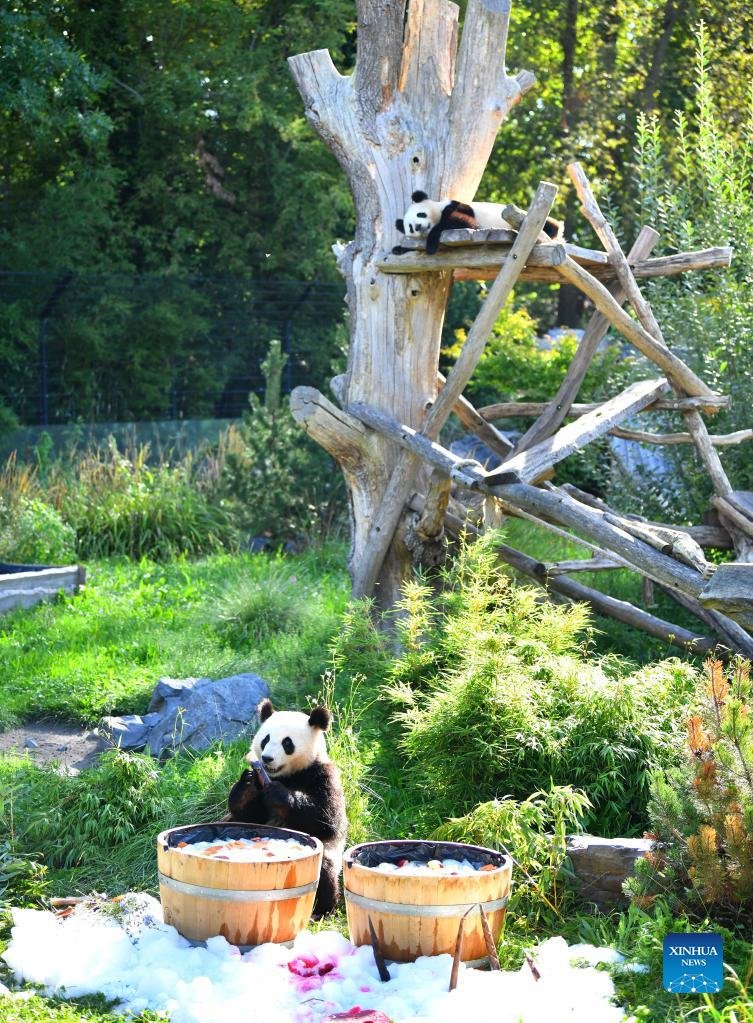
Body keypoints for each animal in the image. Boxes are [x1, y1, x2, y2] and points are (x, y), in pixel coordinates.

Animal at [227, 699, 347, 917]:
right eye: (265, 739)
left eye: (287, 743)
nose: (267, 759)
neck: (288, 775)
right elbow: (248, 815)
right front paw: (247, 783)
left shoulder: (322, 774)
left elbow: (327, 819)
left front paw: (279, 794)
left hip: (329, 857)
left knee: (325, 872)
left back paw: (322, 910)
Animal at [394, 190, 563, 255]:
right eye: (410, 228)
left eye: (420, 214)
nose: (418, 226)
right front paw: (398, 249)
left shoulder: (455, 207)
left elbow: (465, 222)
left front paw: (431, 244)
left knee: (551, 226)